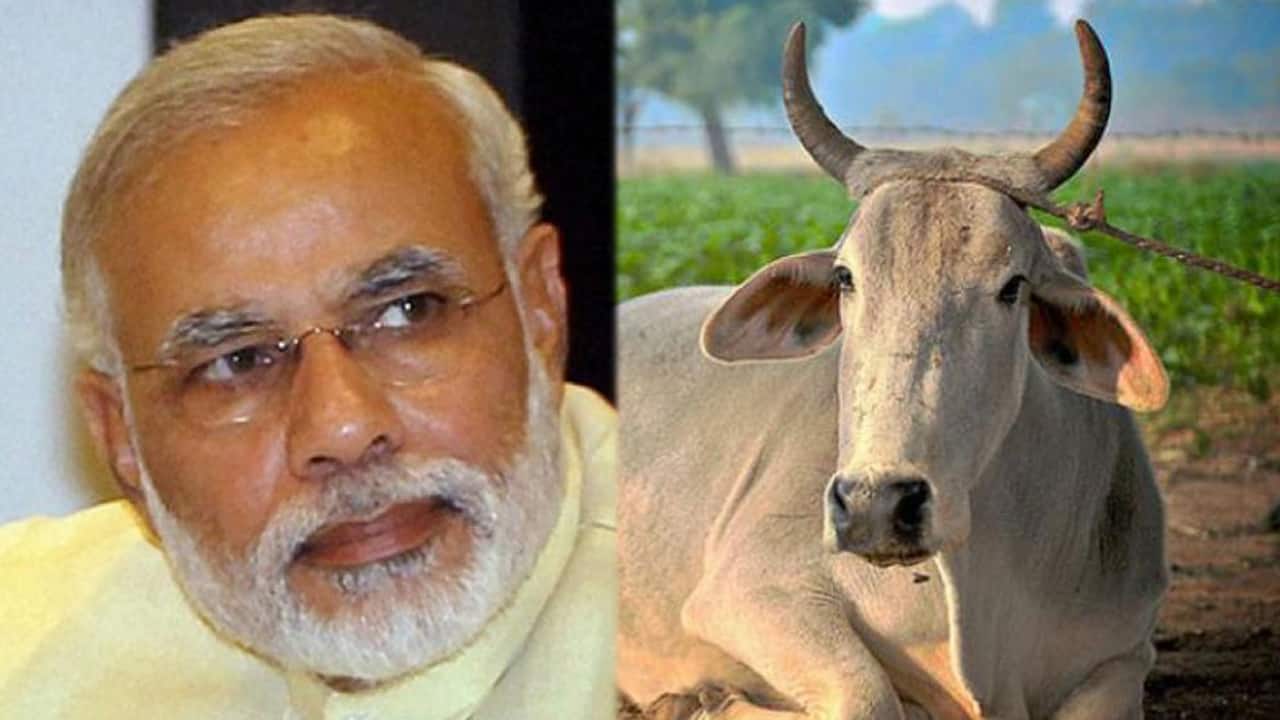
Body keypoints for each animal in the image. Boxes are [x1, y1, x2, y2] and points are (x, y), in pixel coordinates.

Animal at [618, 20, 1169, 720]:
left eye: (1013, 286)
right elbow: (867, 696)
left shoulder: (1123, 654)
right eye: (845, 278)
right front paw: (712, 700)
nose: (876, 506)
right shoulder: (749, 592)